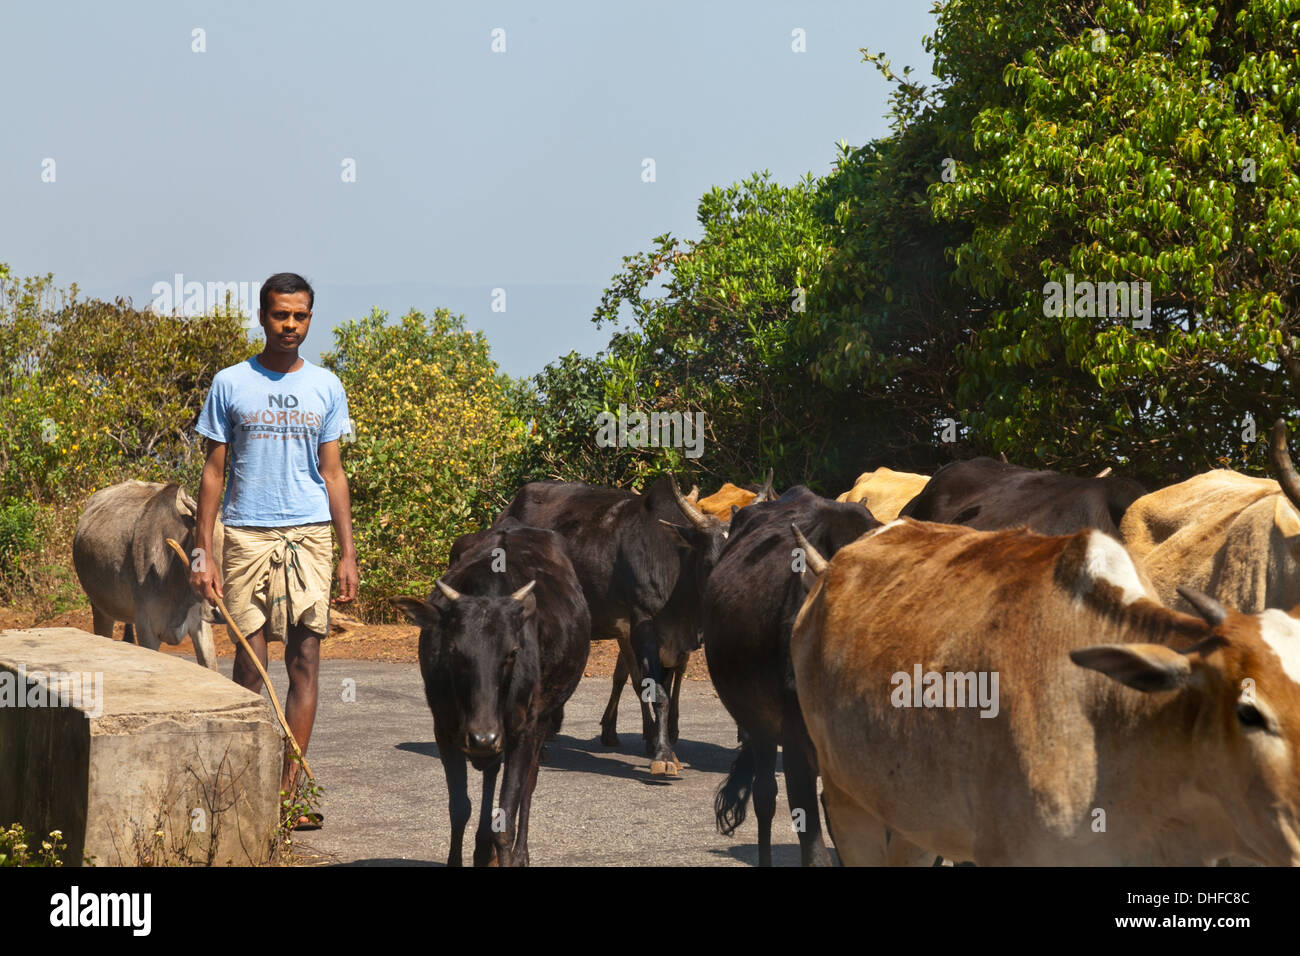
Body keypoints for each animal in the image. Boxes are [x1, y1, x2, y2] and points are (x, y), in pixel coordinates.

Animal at [392, 518, 590, 866]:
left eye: (512, 653)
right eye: (454, 651)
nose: (483, 737)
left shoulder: (523, 730)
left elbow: (507, 816)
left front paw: (508, 854)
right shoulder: (445, 728)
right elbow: (459, 808)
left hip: (540, 722)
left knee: (527, 787)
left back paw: (517, 854)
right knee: (491, 773)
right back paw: (483, 850)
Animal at [494, 476, 726, 775]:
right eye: (709, 561)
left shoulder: (654, 640)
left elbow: (650, 684)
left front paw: (657, 742)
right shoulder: (643, 627)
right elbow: (656, 690)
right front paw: (663, 754)